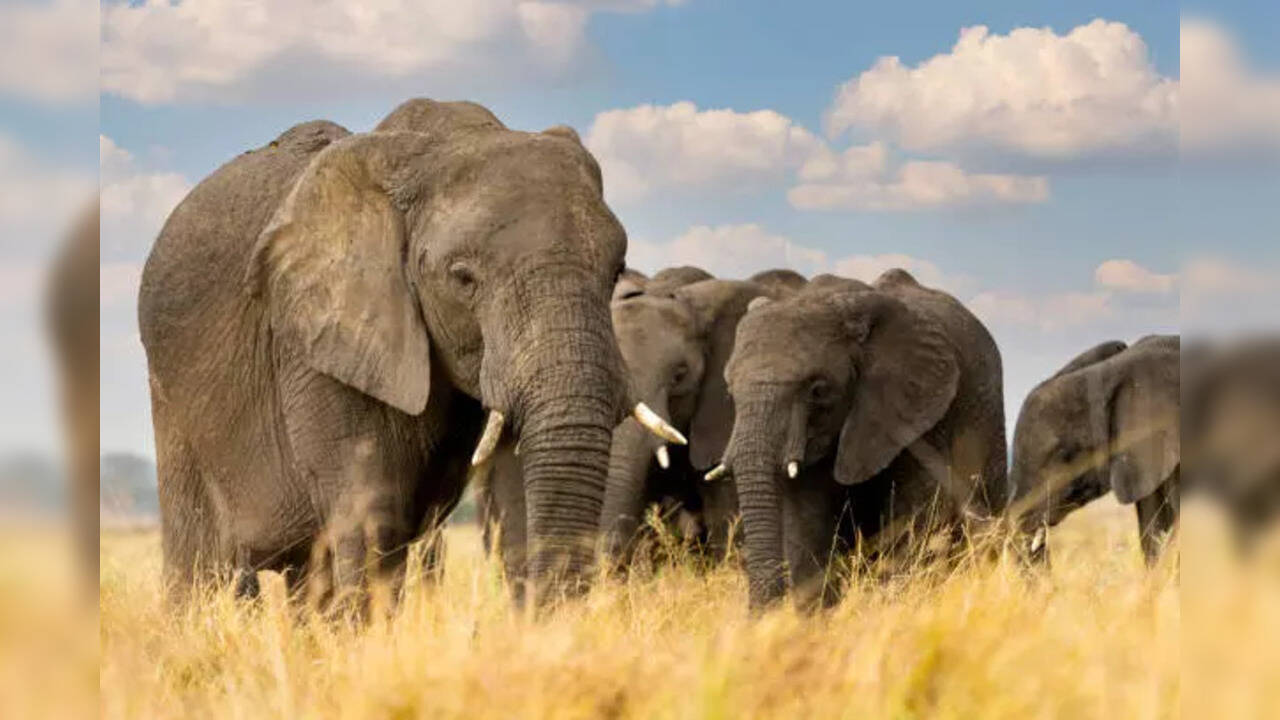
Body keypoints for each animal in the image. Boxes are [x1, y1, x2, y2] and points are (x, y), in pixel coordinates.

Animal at [138, 98, 681, 609]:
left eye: (616, 270)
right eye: (463, 278)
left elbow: (513, 490)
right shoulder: (315, 340)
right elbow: (371, 509)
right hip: (176, 410)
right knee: (203, 566)